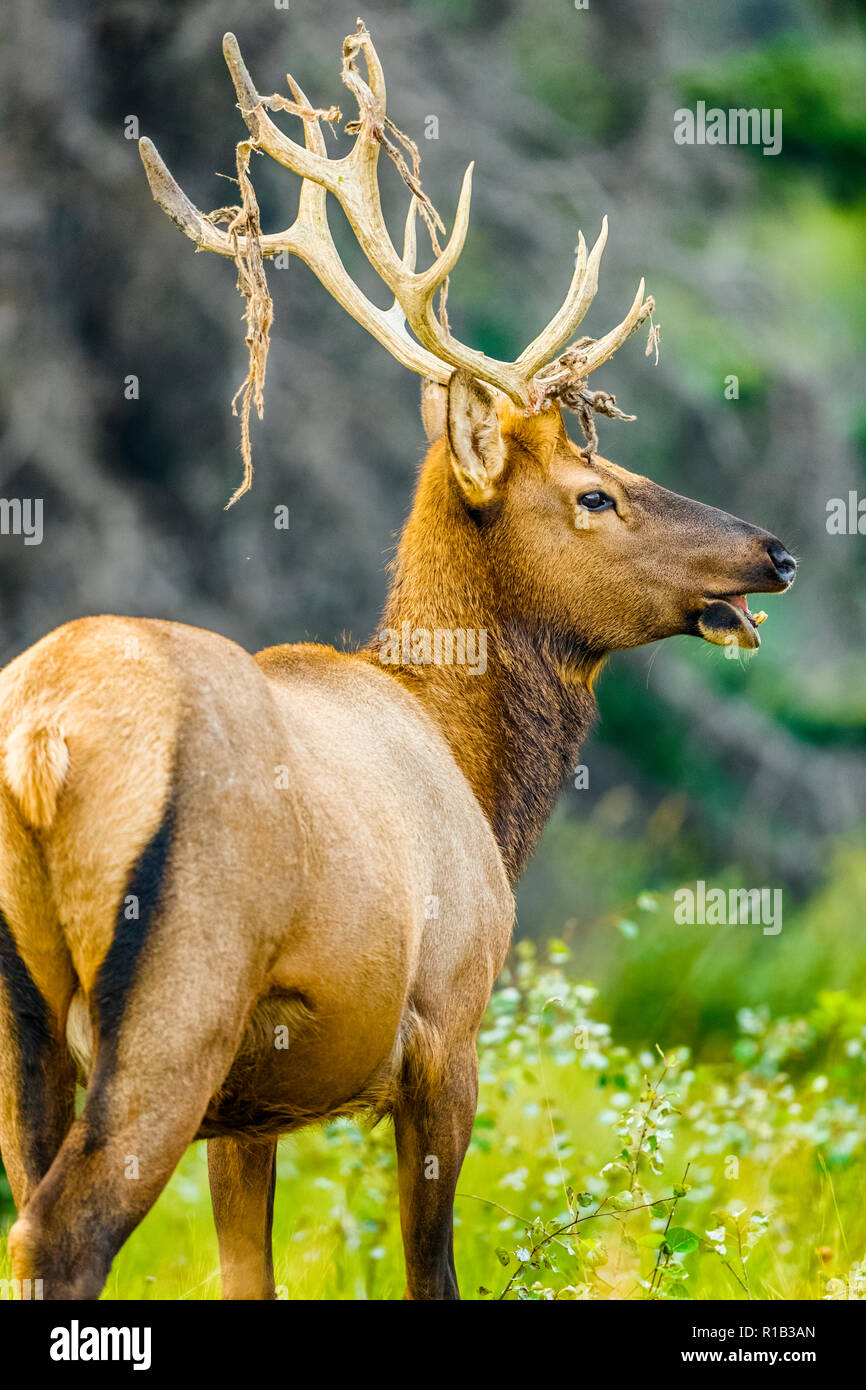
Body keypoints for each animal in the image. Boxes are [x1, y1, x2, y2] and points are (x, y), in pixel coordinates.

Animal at [0, 22, 796, 1301]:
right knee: (63, 1231)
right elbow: (433, 1269)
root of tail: (42, 743)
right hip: (178, 992)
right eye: (594, 492)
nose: (771, 551)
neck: (478, 775)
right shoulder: (448, 1023)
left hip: (24, 1014)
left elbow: (247, 1274)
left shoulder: (252, 1104)